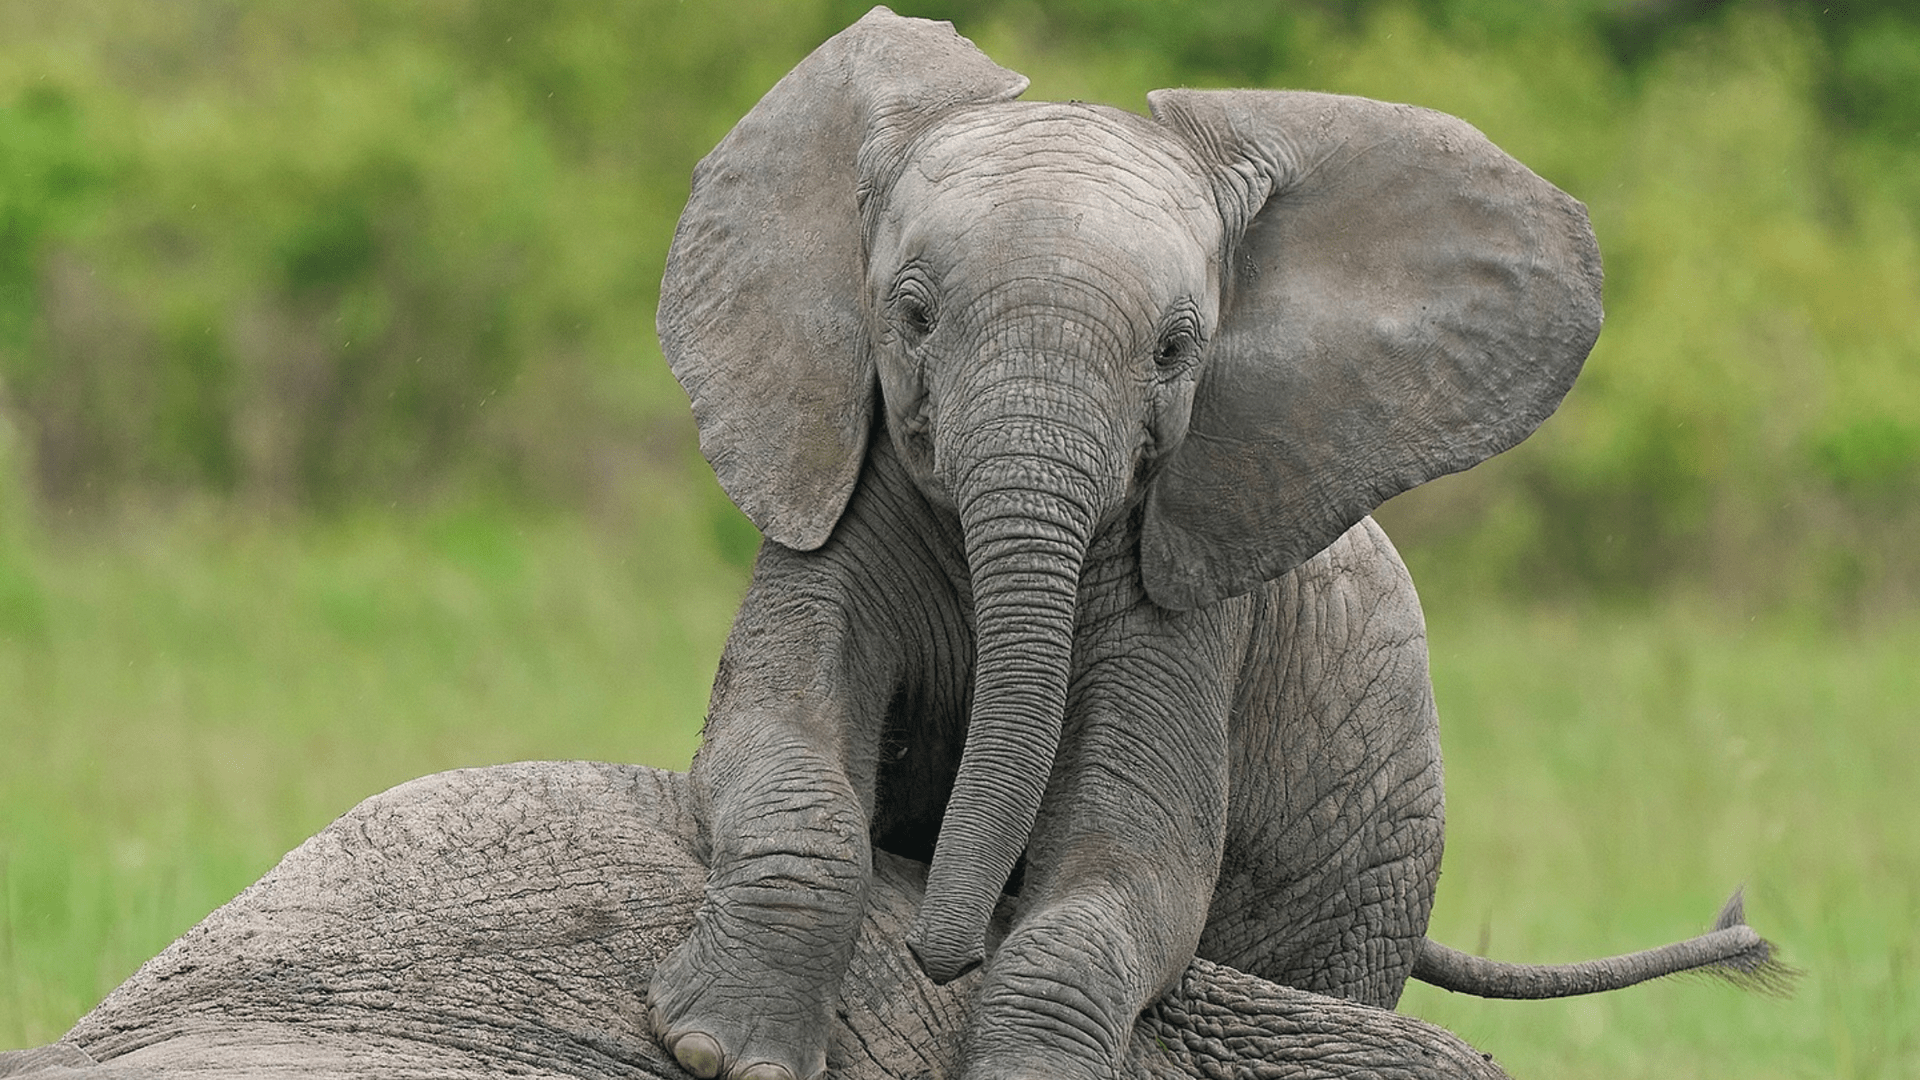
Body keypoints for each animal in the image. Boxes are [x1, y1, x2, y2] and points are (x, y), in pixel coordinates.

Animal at [649, 8, 1783, 1080]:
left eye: (1175, 348)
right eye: (914, 314)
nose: (942, 952)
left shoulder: (1196, 601)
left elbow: (1132, 863)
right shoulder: (836, 490)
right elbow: (775, 750)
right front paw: (721, 1050)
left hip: (1374, 862)